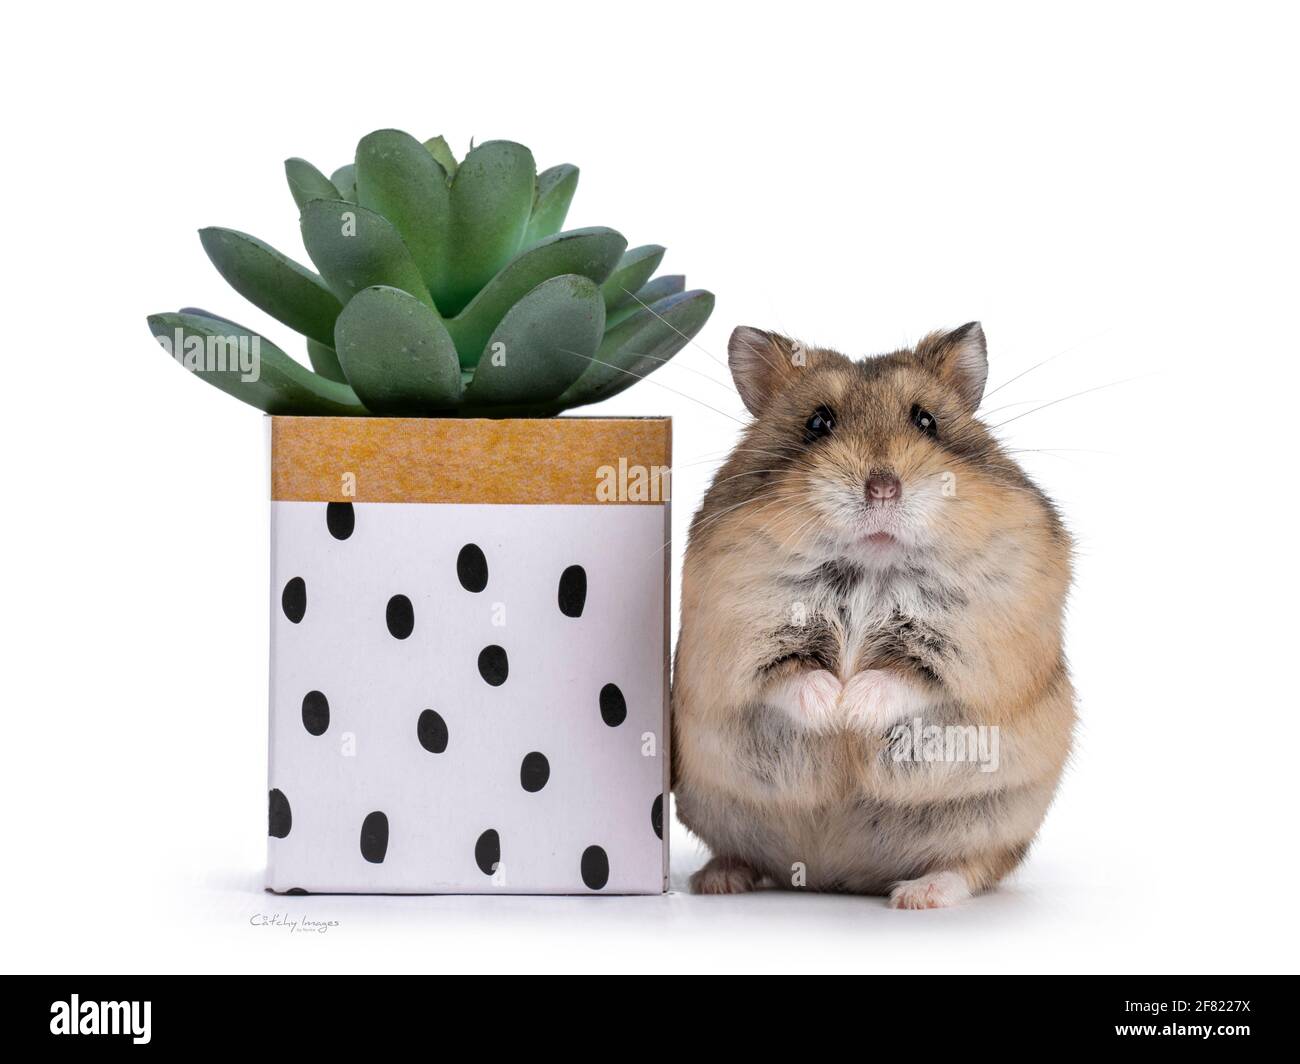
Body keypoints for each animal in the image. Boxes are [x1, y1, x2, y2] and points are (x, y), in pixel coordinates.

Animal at [671, 323, 1075, 908]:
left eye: (926, 420)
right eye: (818, 422)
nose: (883, 488)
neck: (871, 567)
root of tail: (838, 874)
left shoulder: (974, 652)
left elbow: (905, 678)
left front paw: (851, 708)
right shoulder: (738, 645)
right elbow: (790, 677)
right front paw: (833, 707)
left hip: (999, 822)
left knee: (974, 866)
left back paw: (918, 895)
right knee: (743, 855)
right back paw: (716, 881)